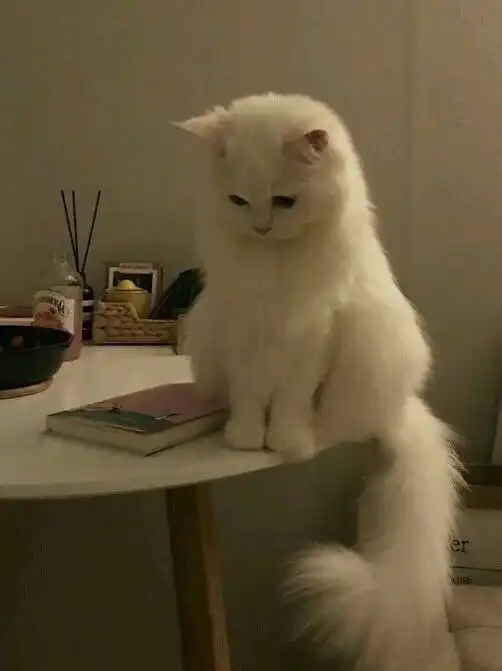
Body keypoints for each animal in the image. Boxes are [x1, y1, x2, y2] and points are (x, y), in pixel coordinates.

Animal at [176, 93, 462, 671]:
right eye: (239, 201)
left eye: (284, 202)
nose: (262, 227)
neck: (274, 264)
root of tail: (402, 407)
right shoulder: (244, 336)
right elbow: (250, 398)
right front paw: (245, 440)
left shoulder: (312, 339)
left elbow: (288, 402)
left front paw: (283, 442)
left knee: (335, 423)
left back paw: (311, 438)